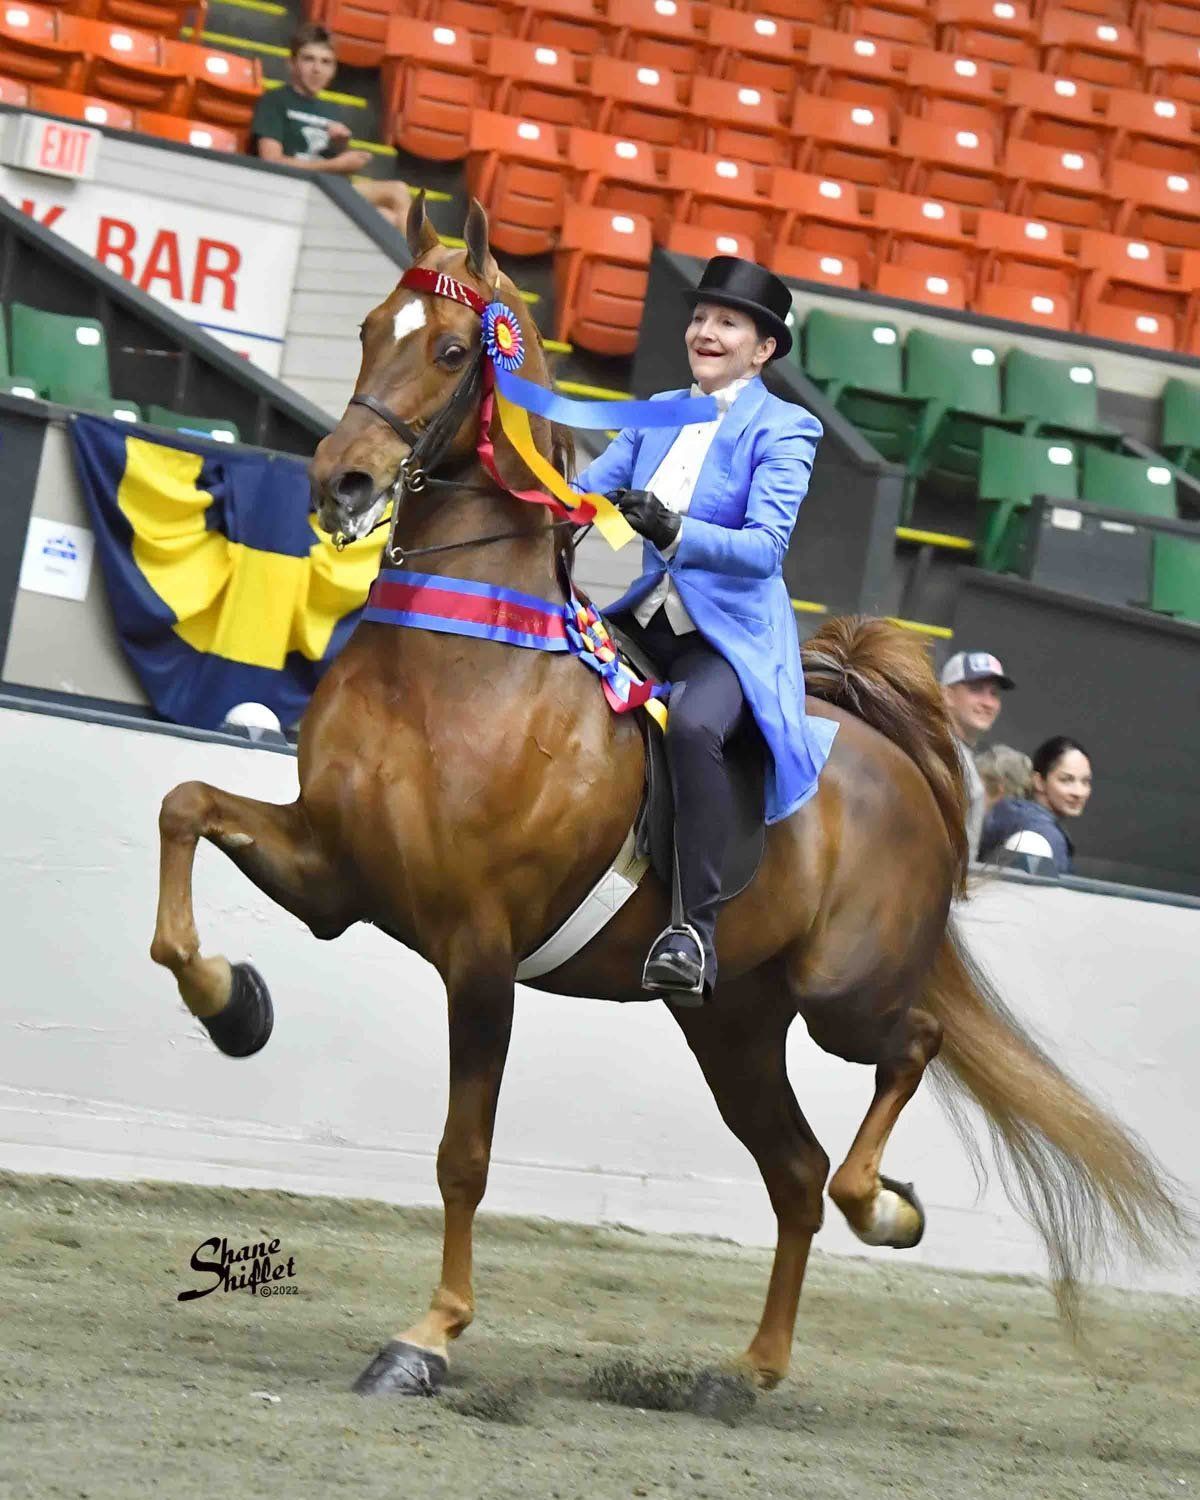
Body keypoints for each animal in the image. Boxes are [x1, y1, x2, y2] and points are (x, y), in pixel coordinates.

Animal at [150, 197, 1188, 1400]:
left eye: (453, 351)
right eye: (368, 330)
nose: (340, 486)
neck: (452, 662)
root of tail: (900, 760)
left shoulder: (479, 948)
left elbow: (465, 1155)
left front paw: (426, 1339)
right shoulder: (334, 874)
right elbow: (184, 806)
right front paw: (234, 1005)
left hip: (841, 995)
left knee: (906, 1054)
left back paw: (887, 1212)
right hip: (732, 1021)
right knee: (795, 1170)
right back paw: (750, 1369)